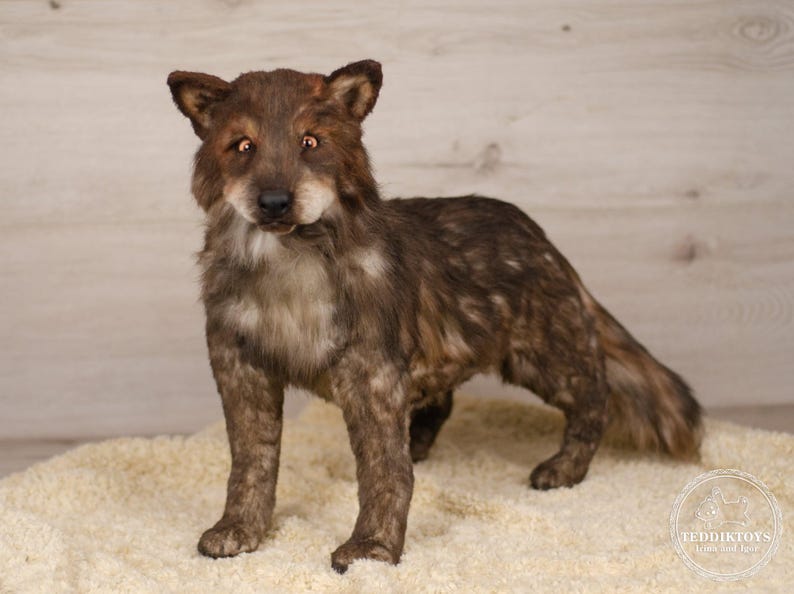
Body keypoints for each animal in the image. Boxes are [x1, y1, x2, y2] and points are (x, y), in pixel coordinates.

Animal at [167, 60, 702, 573]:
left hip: (542, 359)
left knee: (597, 395)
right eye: (243, 146)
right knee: (440, 402)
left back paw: (564, 469)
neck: (287, 268)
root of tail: (540, 236)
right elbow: (251, 463)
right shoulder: (240, 366)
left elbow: (385, 472)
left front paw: (372, 549)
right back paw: (422, 444)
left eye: (310, 142)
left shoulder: (368, 372)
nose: (275, 202)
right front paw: (239, 529)